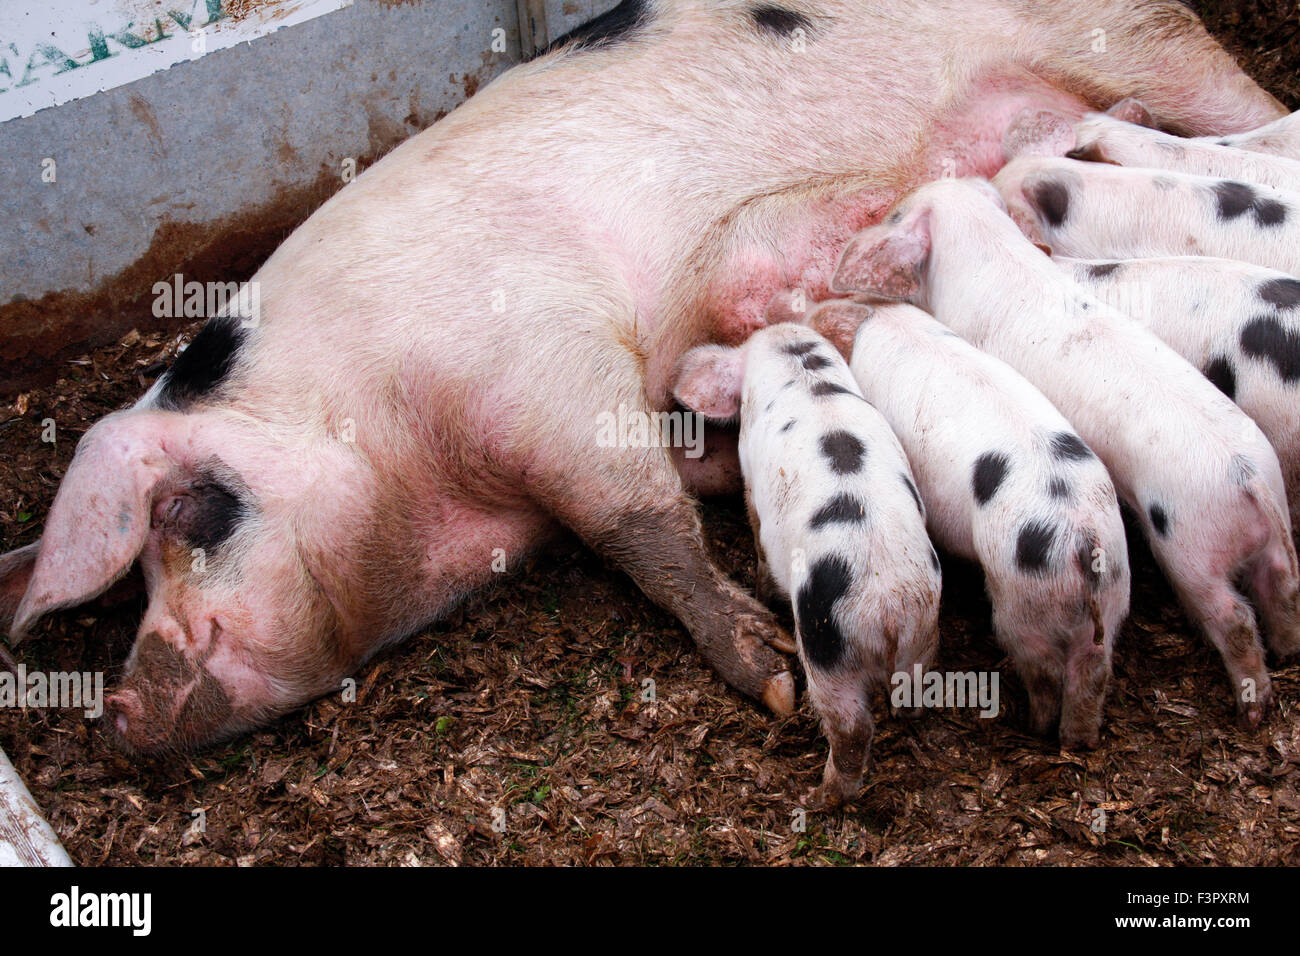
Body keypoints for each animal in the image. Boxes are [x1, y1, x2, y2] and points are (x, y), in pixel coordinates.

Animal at [672, 322, 940, 808]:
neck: (805, 371)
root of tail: (889, 604)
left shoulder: (752, 481)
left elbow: (757, 534)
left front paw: (762, 591)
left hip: (828, 648)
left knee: (851, 728)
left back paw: (816, 798)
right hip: (923, 630)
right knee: (912, 689)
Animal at [781, 294, 1129, 748]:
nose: (801, 316)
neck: (883, 315)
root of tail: (1083, 537)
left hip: (1024, 599)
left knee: (1046, 671)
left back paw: (1034, 728)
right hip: (1114, 589)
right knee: (1093, 672)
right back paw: (1077, 744)